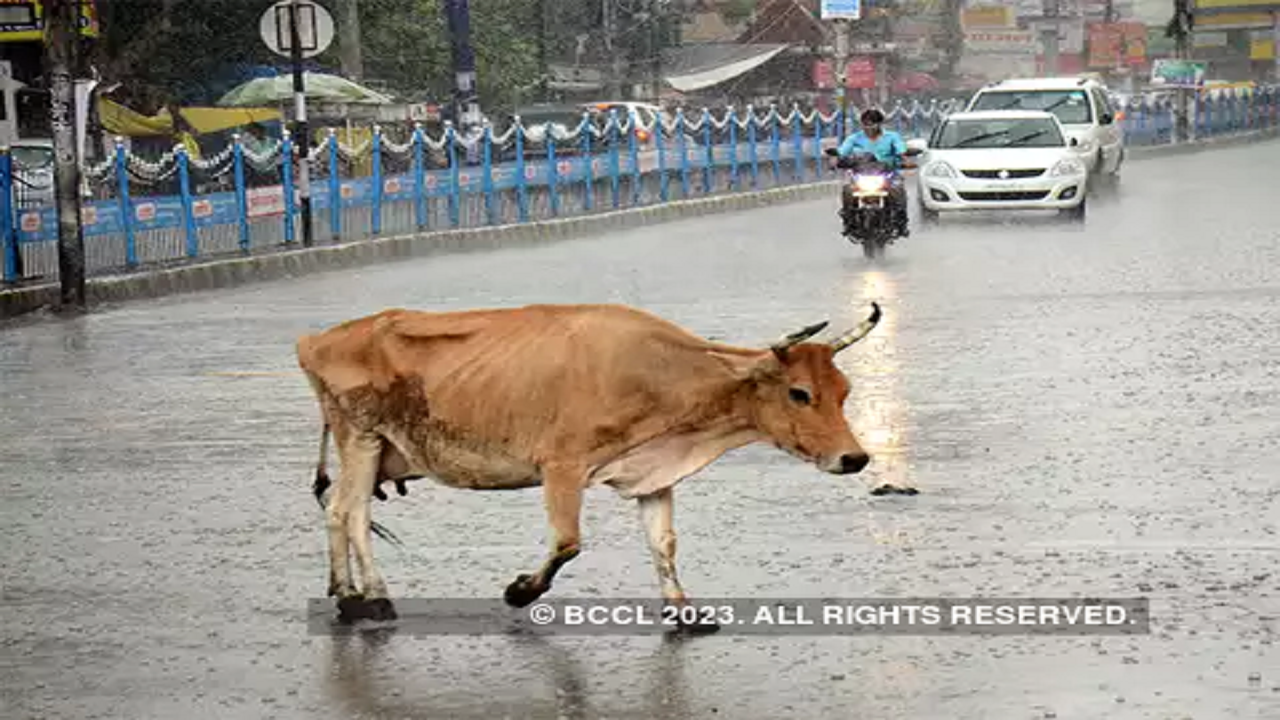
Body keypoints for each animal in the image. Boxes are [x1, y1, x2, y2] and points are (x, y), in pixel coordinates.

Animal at [297, 301, 883, 630]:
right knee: (347, 513)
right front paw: (520, 591)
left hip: (376, 451)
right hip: (361, 437)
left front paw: (683, 612)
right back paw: (367, 597)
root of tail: (317, 339)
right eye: (799, 393)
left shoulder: (653, 475)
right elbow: (567, 543)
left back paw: (349, 593)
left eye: (845, 391)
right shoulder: (561, 468)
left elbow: (663, 545)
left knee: (339, 512)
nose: (854, 458)